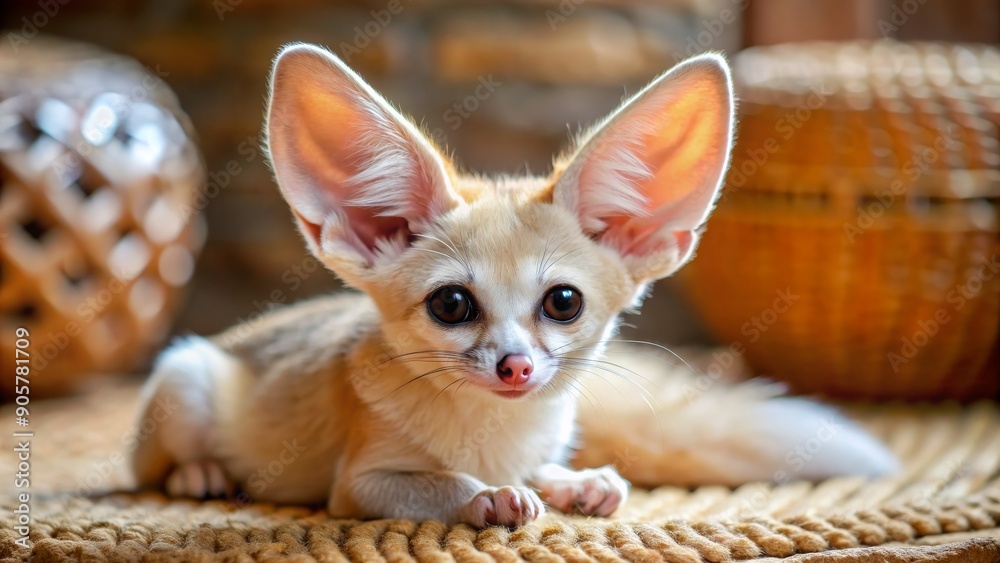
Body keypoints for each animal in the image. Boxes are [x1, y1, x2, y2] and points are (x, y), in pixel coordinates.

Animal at [130, 43, 898, 527]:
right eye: (451, 304)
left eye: (563, 302)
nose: (516, 366)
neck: (496, 437)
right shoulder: (357, 484)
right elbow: (437, 484)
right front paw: (486, 496)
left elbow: (544, 469)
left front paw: (573, 483)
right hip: (184, 382)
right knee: (151, 469)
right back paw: (199, 474)